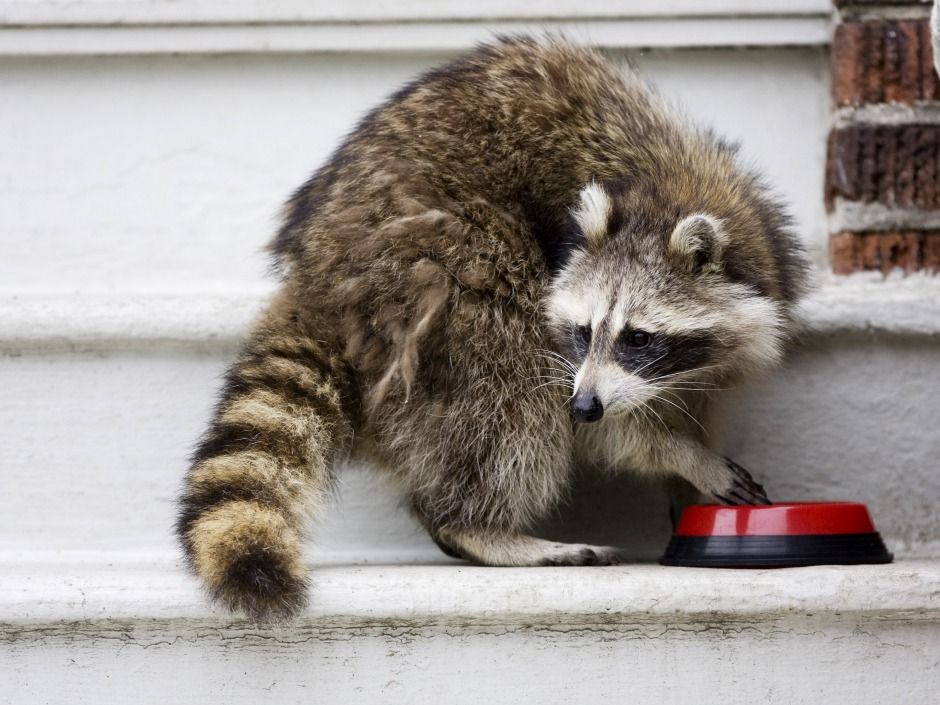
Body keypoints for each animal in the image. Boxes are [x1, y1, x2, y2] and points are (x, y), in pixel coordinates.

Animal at [177, 37, 808, 620]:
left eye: (638, 338)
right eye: (583, 332)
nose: (586, 403)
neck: (666, 196)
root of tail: (317, 276)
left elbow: (691, 396)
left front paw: (687, 473)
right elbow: (595, 427)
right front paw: (678, 454)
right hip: (433, 275)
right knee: (511, 387)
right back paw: (477, 526)